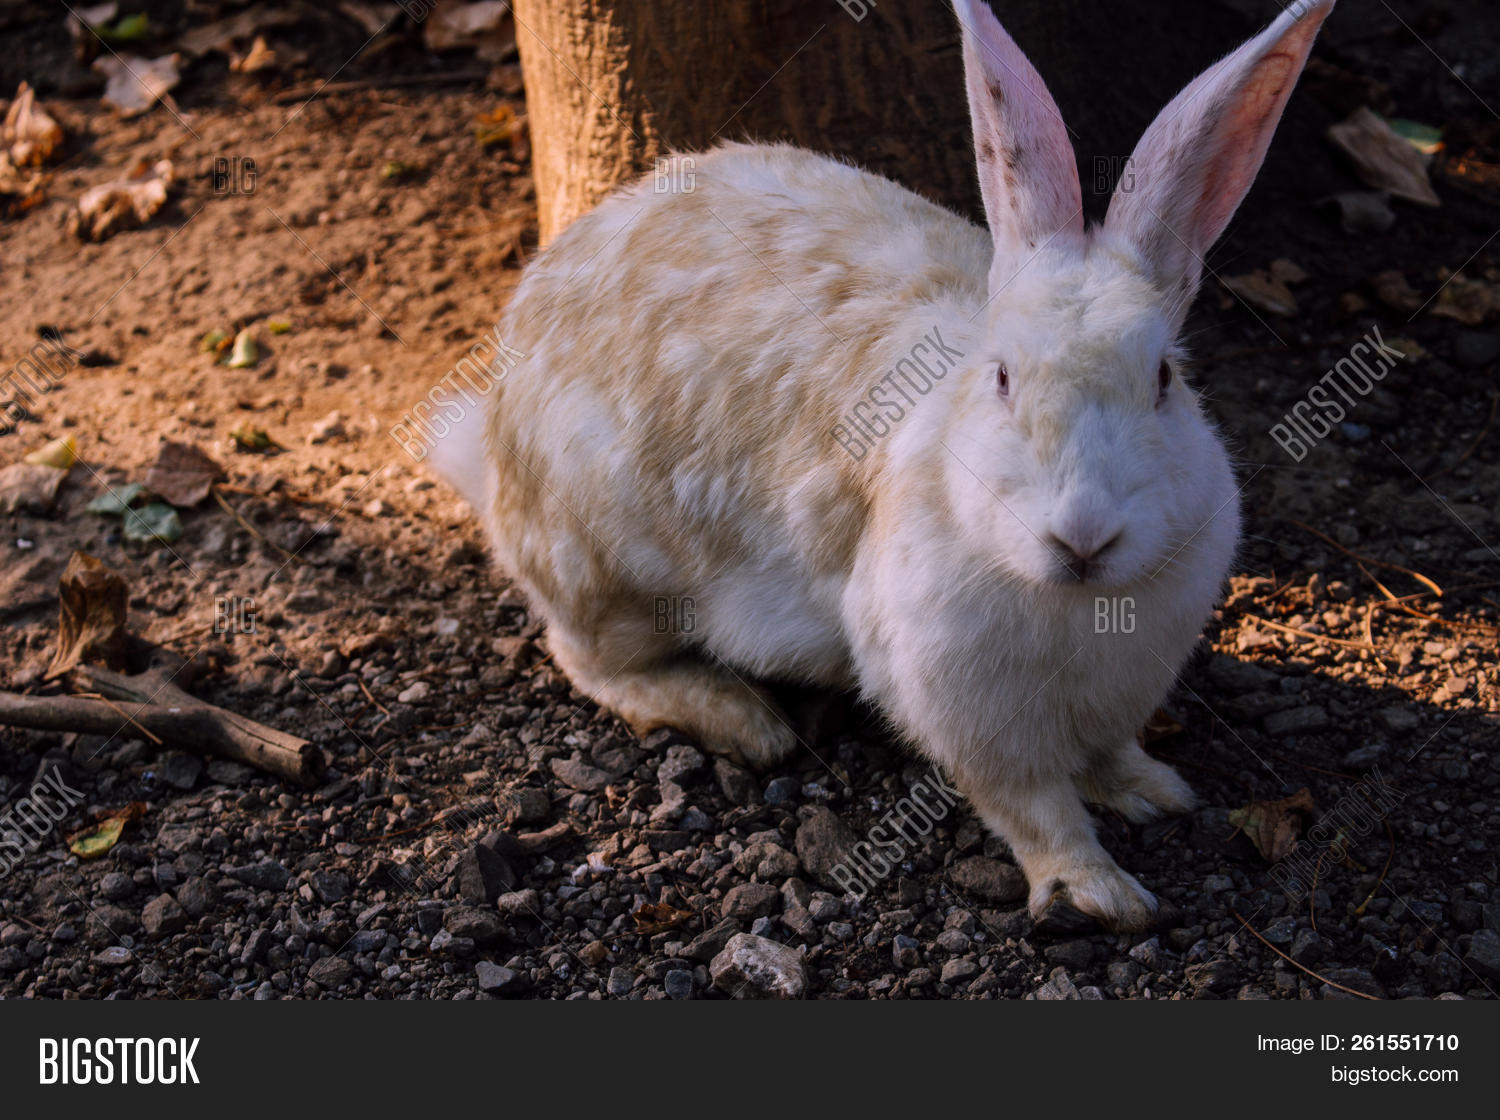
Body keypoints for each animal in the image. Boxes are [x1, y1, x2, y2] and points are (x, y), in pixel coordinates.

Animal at [428, 0, 1335, 931]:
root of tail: (494, 448)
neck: (1074, 602)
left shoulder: (1115, 699)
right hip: (606, 568)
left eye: (1164, 379)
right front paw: (1100, 893)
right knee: (592, 662)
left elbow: (1107, 758)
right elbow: (1035, 811)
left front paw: (1157, 791)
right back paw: (743, 719)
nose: (1083, 536)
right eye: (1001, 376)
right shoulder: (971, 718)